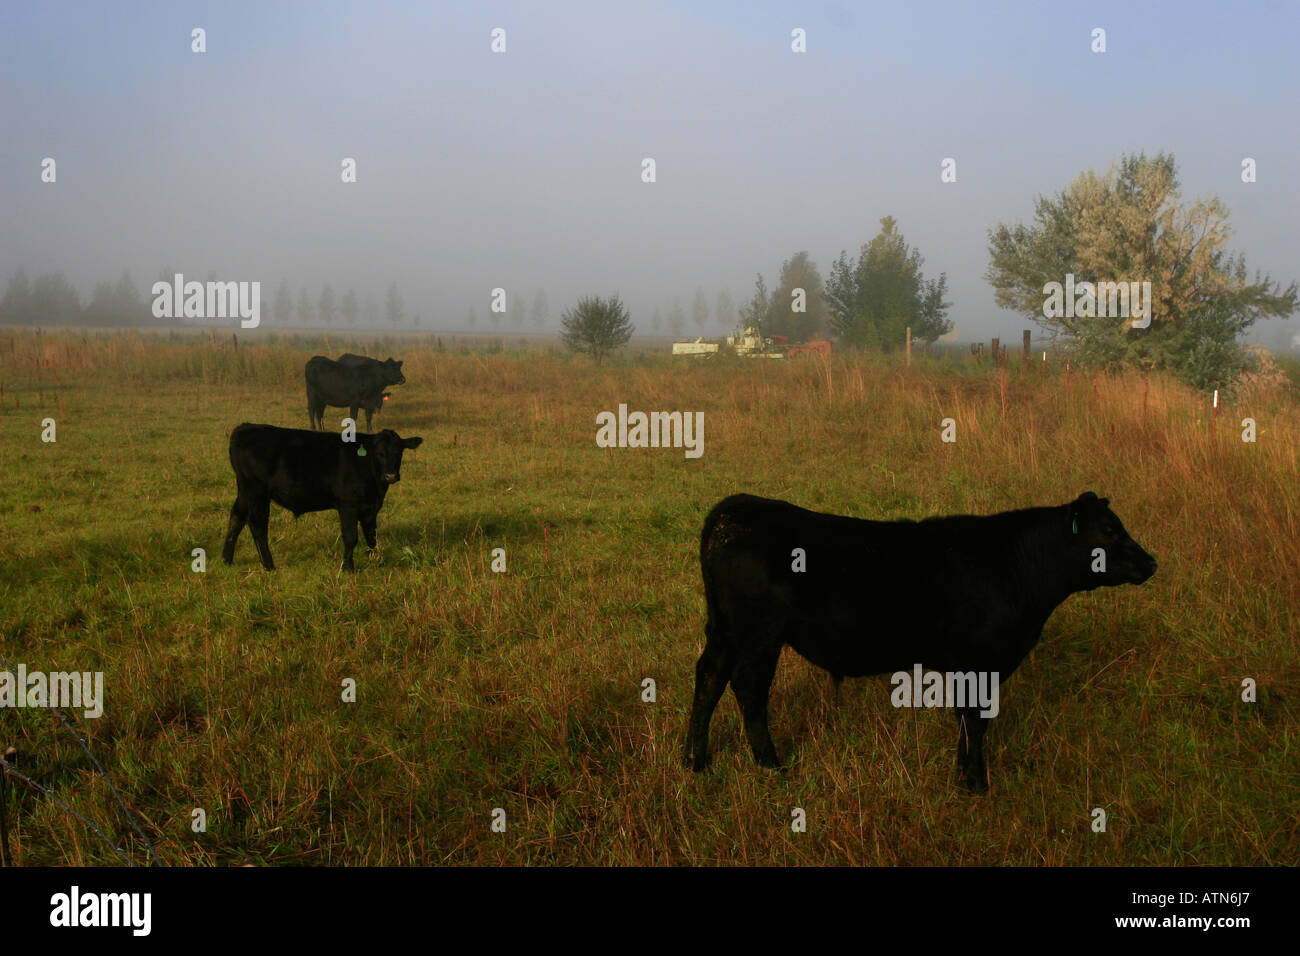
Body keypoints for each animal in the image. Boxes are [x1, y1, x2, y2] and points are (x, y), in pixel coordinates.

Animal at [221, 423, 423, 571]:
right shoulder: (348, 504)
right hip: (257, 491)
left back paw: (226, 559)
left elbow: (371, 536)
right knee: (257, 524)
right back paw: (269, 565)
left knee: (236, 517)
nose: (391, 476)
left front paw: (377, 562)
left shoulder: (371, 507)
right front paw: (348, 568)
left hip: (245, 491)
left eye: (399, 452)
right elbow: (351, 537)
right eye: (379, 453)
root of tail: (245, 427)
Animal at [684, 492, 1157, 793]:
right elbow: (975, 721)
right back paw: (770, 764)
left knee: (709, 678)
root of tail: (733, 509)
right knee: (748, 688)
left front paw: (964, 774)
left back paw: (695, 761)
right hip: (758, 633)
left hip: (724, 629)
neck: (1018, 567)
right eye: (1109, 531)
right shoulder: (979, 662)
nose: (1151, 562)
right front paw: (977, 784)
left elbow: (966, 720)